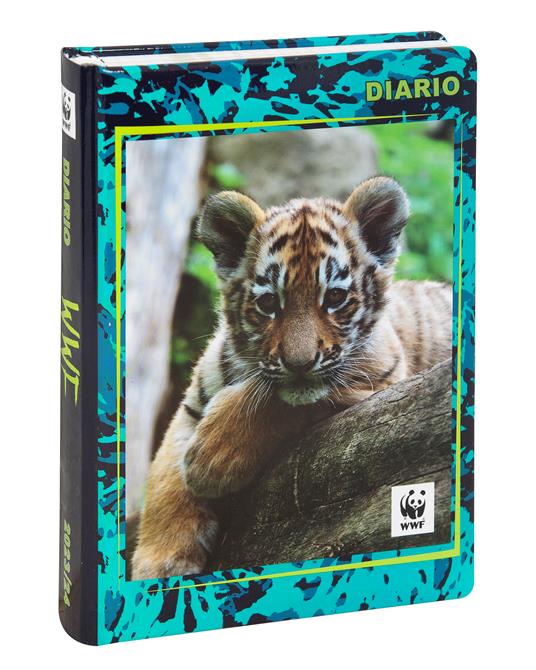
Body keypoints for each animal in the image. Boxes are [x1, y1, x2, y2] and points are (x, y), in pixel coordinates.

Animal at [131, 176, 451, 580]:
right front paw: (158, 564)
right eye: (269, 303)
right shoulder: (189, 407)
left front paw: (212, 460)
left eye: (335, 297)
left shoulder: (382, 386)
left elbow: (278, 400)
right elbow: (164, 480)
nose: (300, 363)